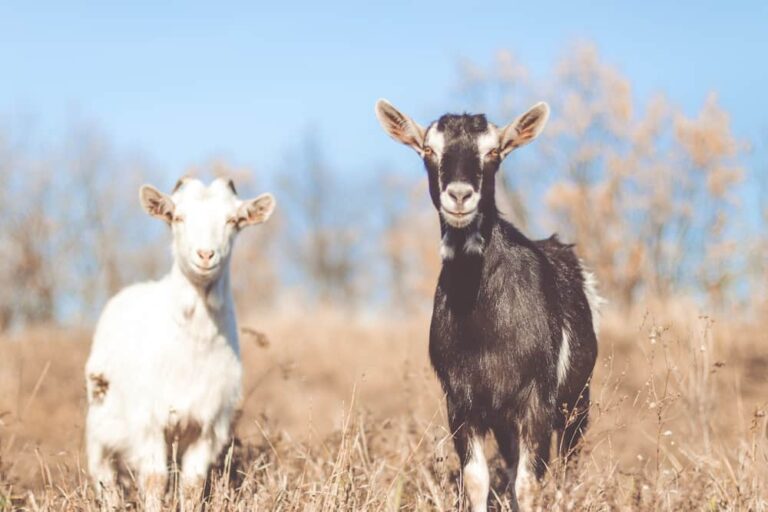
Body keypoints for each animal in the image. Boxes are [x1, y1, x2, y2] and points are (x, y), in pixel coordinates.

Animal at [84, 177, 276, 510]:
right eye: (177, 217)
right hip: (99, 420)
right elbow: (154, 479)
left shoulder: (208, 426)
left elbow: (192, 484)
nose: (205, 255)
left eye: (233, 220)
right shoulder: (148, 421)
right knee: (104, 477)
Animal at [375, 99, 600, 511]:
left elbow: (528, 483)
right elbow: (477, 479)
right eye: (428, 150)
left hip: (577, 399)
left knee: (568, 464)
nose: (460, 195)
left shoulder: (536, 399)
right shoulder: (462, 400)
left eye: (494, 152)